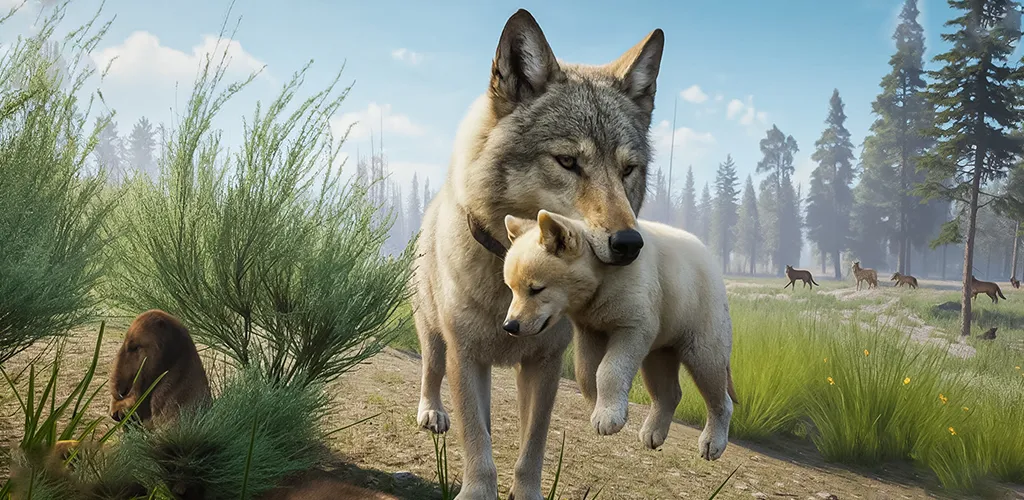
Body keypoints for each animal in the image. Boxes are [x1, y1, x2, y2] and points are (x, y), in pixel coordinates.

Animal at [411, 9, 664, 500]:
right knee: (432, 372)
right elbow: (477, 439)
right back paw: (432, 412)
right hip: (434, 335)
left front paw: (525, 491)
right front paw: (478, 489)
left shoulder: (543, 365)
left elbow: (533, 446)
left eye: (628, 170)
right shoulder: (465, 356)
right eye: (567, 162)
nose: (629, 244)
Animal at [500, 211, 737, 459]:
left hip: (702, 331)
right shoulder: (590, 326)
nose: (510, 325)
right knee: (667, 388)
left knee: (714, 382)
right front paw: (600, 407)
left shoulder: (634, 321)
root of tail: (709, 256)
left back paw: (712, 442)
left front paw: (608, 418)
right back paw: (653, 433)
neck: (602, 277)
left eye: (536, 289)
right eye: (512, 288)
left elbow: (610, 368)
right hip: (662, 341)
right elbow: (585, 371)